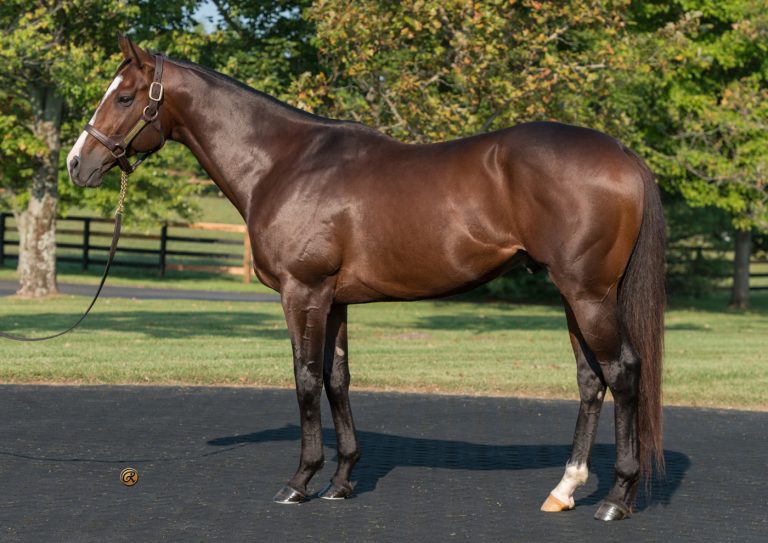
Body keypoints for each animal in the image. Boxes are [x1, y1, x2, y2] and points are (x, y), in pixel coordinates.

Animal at [67, 36, 665, 521]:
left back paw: (616, 499)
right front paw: (341, 482)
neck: (284, 163)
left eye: (125, 97)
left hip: (588, 294)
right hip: (573, 294)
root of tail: (623, 154)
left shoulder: (302, 292)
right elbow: (338, 380)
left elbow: (306, 379)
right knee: (590, 380)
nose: (77, 163)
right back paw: (564, 490)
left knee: (624, 372)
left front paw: (300, 482)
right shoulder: (334, 301)